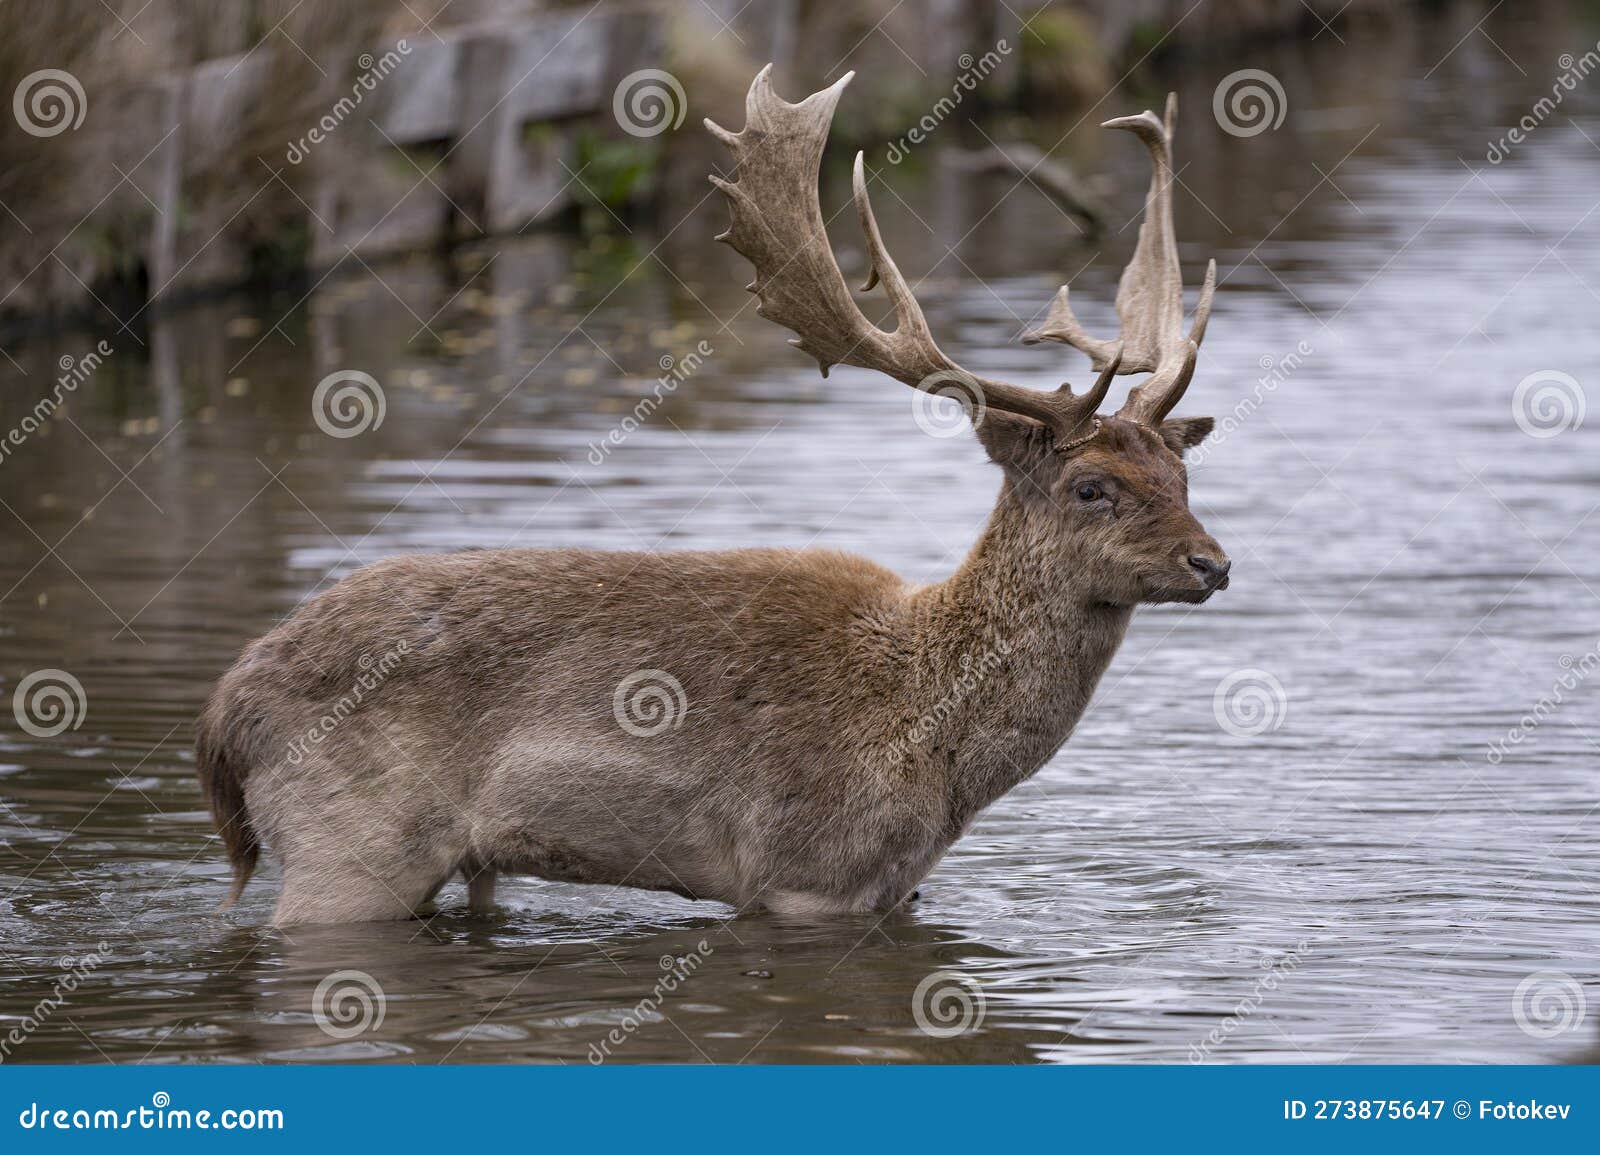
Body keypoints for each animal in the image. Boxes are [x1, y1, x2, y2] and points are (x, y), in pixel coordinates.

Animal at [196, 66, 1228, 926]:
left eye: (1183, 476)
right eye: (1091, 485)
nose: (1212, 561)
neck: (935, 752)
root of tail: (220, 715)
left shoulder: (895, 888)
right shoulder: (806, 873)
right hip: (347, 848)